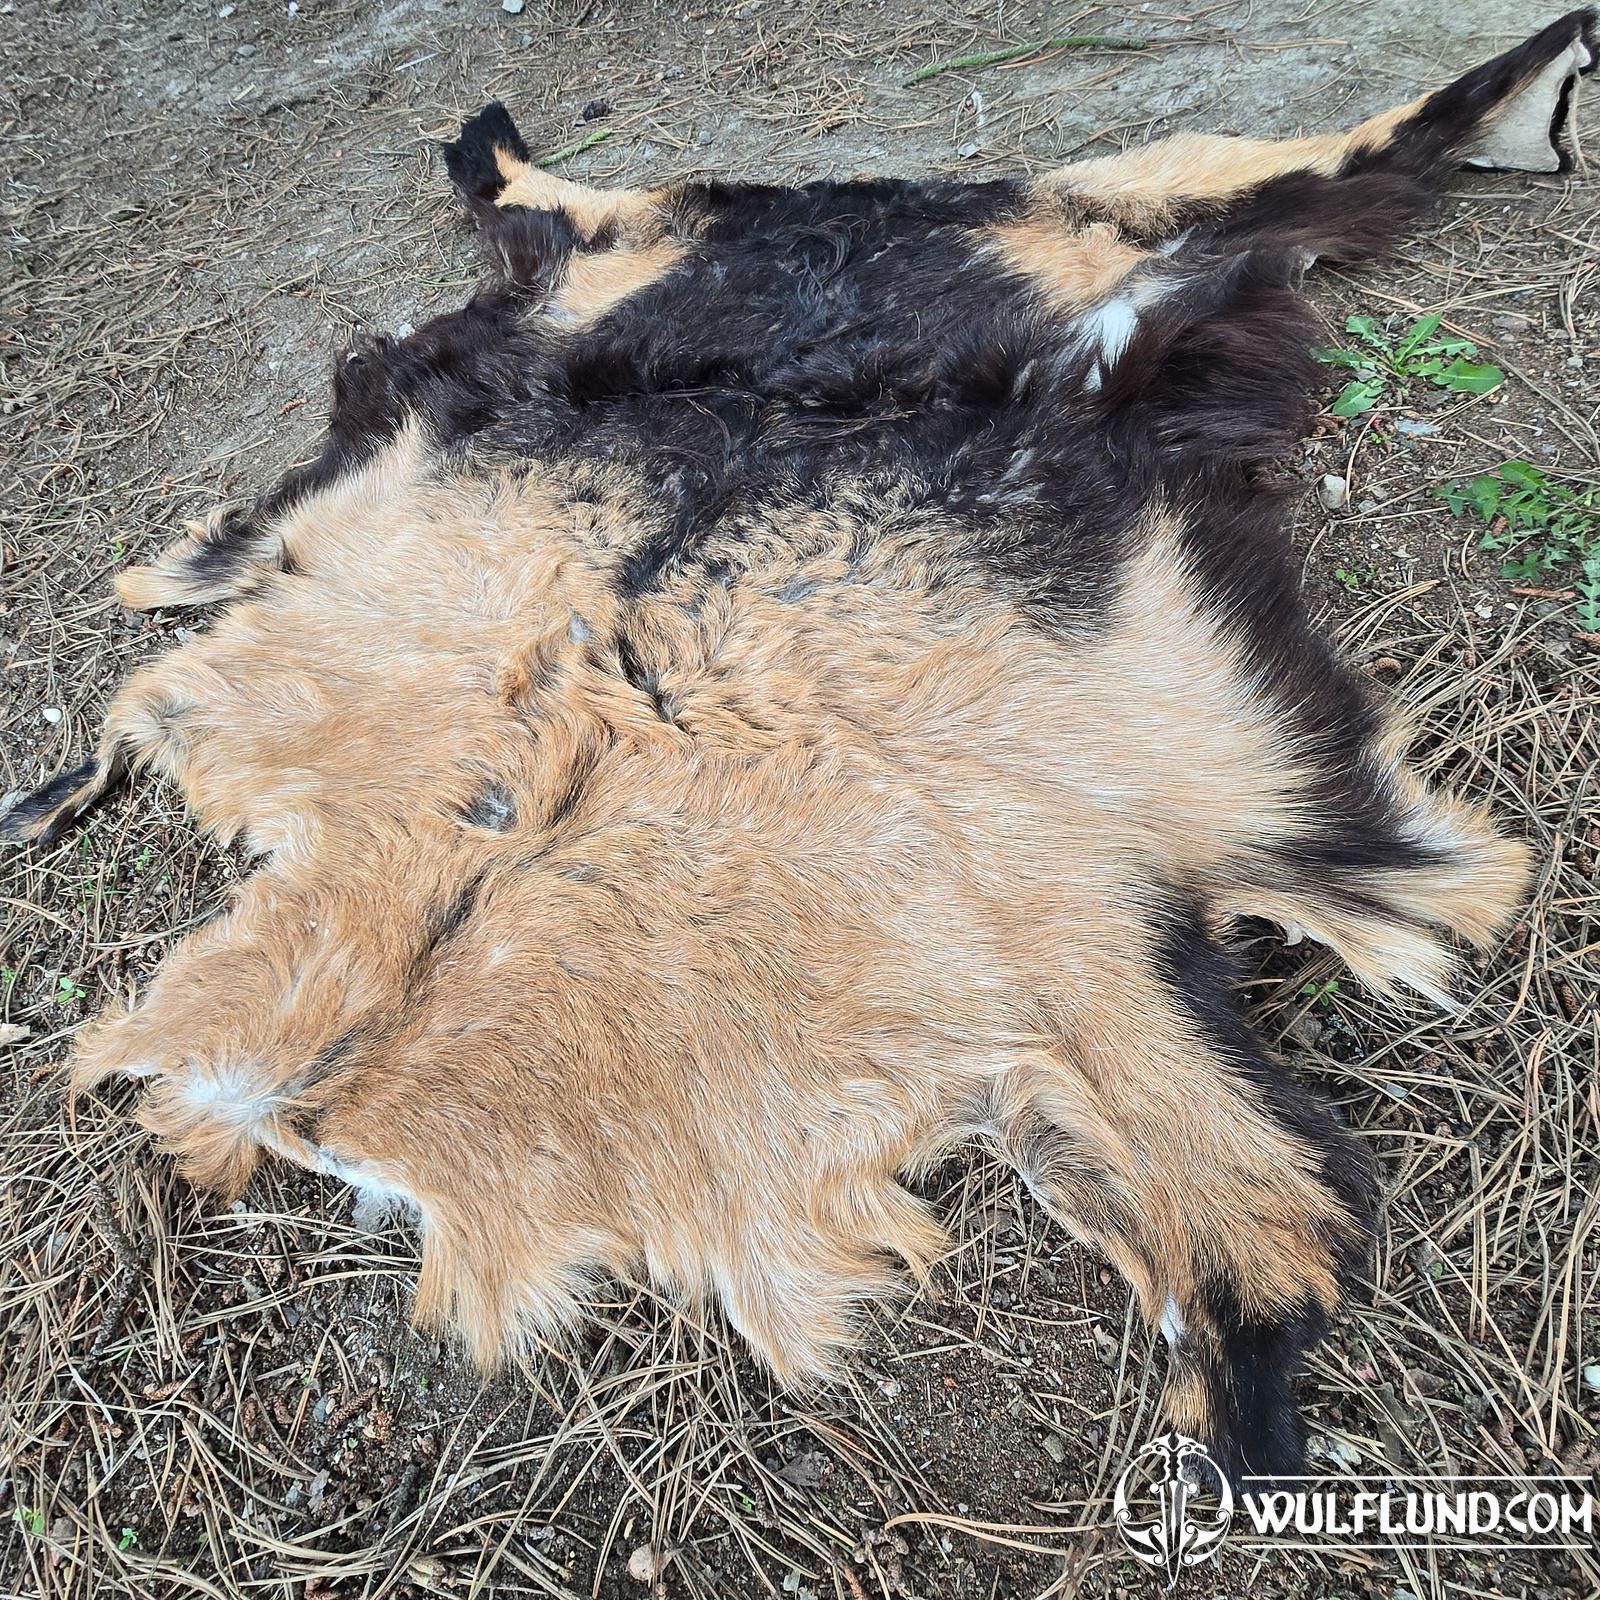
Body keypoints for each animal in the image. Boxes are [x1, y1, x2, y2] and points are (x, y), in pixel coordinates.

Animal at [6, 11, 1591, 1484]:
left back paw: (1534, 84)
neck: (511, 839)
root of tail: (867, 208)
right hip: (635, 275)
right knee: (571, 212)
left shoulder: (1091, 910)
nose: (306, 1141)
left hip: (1039, 220)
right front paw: (58, 786)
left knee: (1304, 161)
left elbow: (1265, 1231)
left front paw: (1241, 1425)